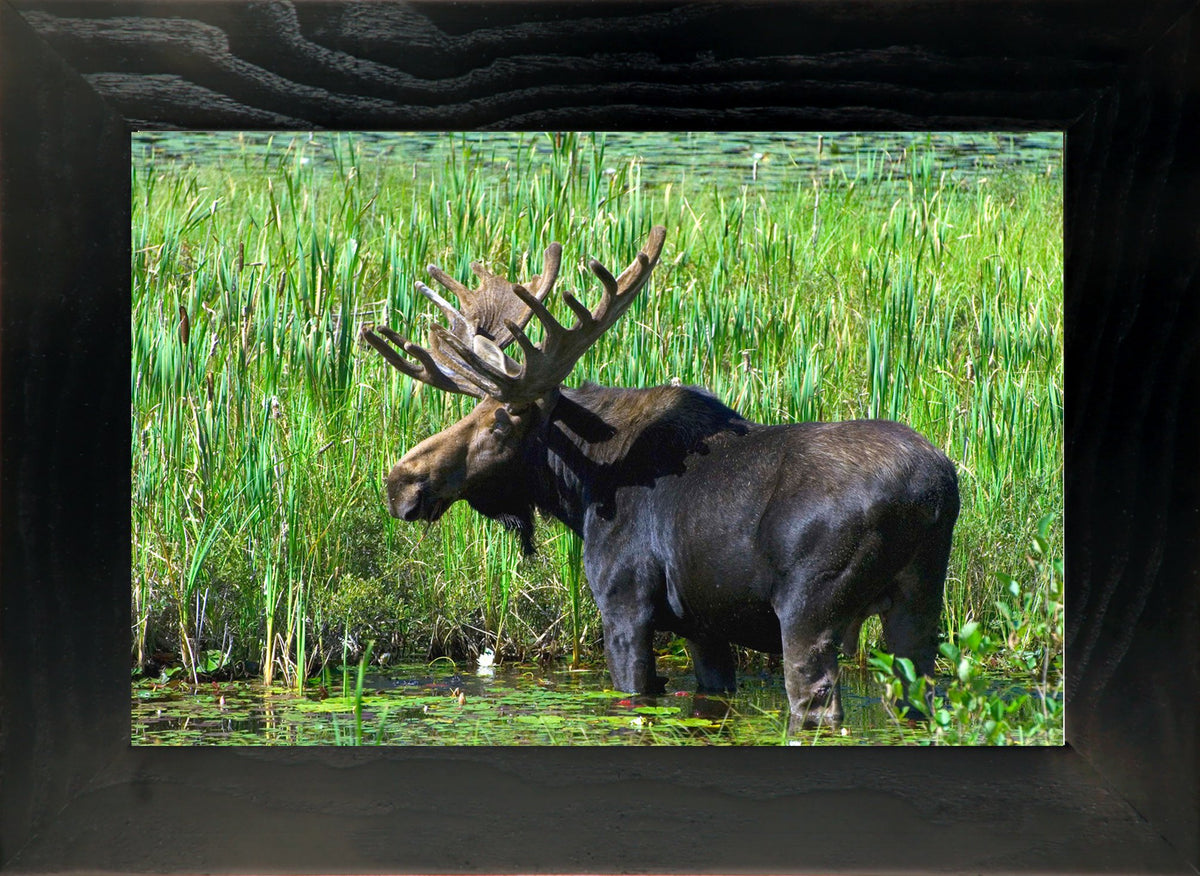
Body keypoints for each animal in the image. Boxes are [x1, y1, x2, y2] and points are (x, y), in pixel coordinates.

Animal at [363, 226, 959, 729]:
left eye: (499, 423)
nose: (401, 483)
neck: (580, 491)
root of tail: (932, 492)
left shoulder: (625, 607)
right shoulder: (704, 628)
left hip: (810, 611)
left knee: (817, 709)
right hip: (920, 605)